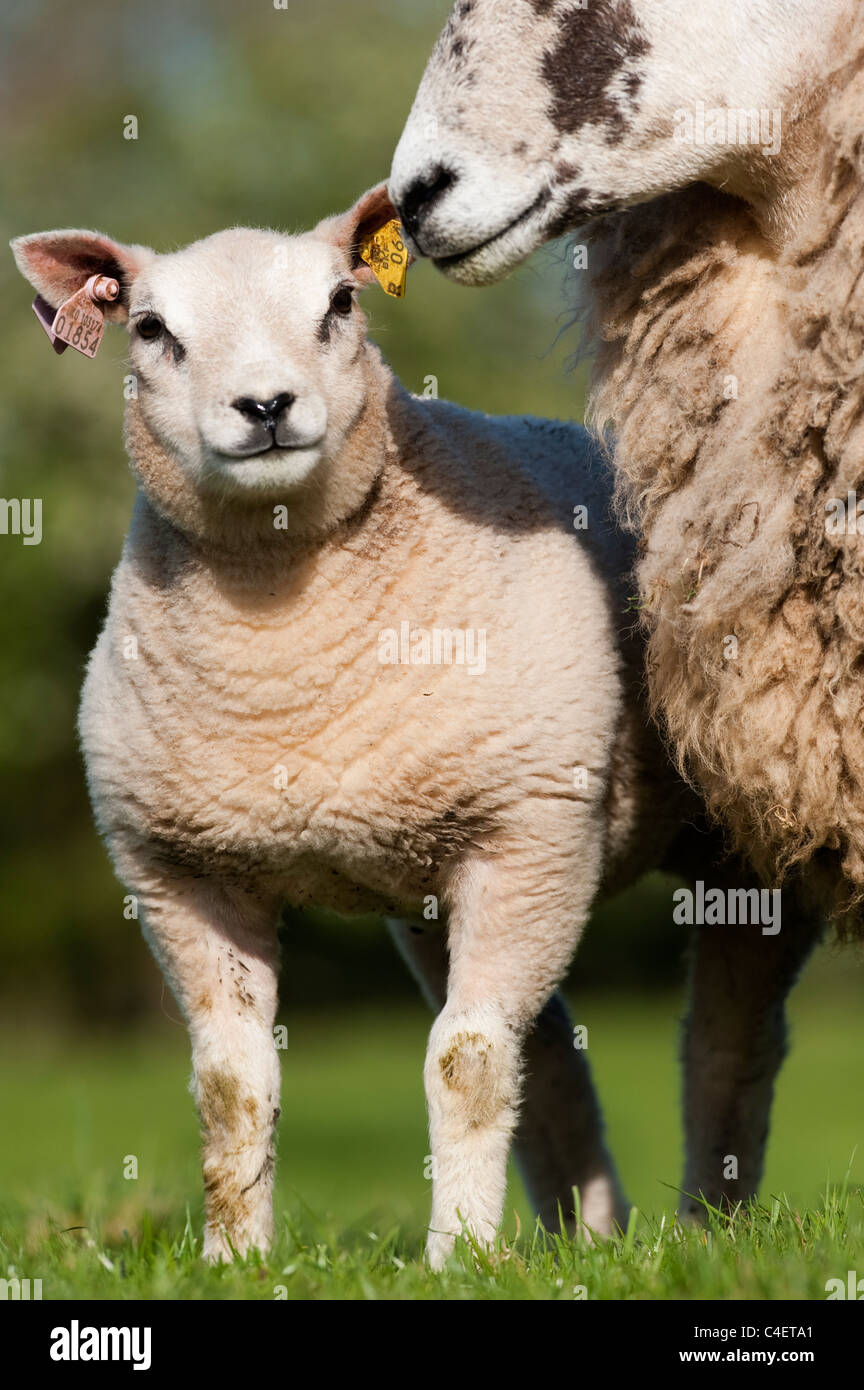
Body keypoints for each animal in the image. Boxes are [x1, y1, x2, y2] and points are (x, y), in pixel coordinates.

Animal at [14, 184, 712, 1267]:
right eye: (152, 329)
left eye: (342, 302)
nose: (265, 407)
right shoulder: (178, 870)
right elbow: (231, 1082)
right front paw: (234, 1258)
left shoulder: (532, 835)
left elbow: (465, 1061)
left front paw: (457, 1258)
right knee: (553, 1054)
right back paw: (590, 1236)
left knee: (726, 1032)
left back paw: (718, 1215)